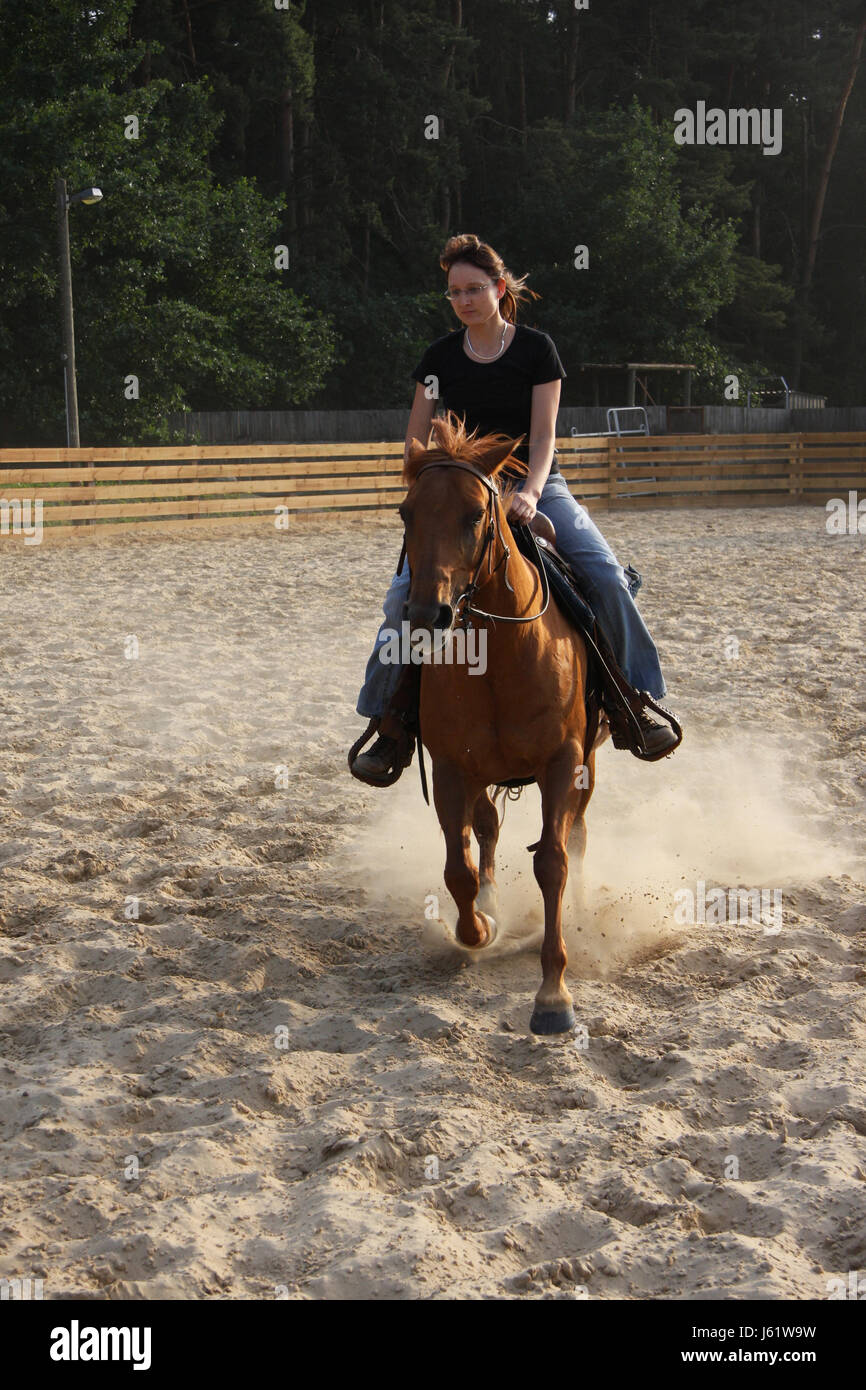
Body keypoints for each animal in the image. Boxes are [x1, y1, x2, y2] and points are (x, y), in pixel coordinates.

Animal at [400, 412, 603, 1035]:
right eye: (406, 513)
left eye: (474, 514)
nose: (428, 614)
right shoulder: (449, 768)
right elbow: (458, 870)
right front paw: (479, 928)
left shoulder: (564, 762)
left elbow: (553, 863)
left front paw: (554, 994)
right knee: (486, 828)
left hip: (589, 764)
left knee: (577, 838)